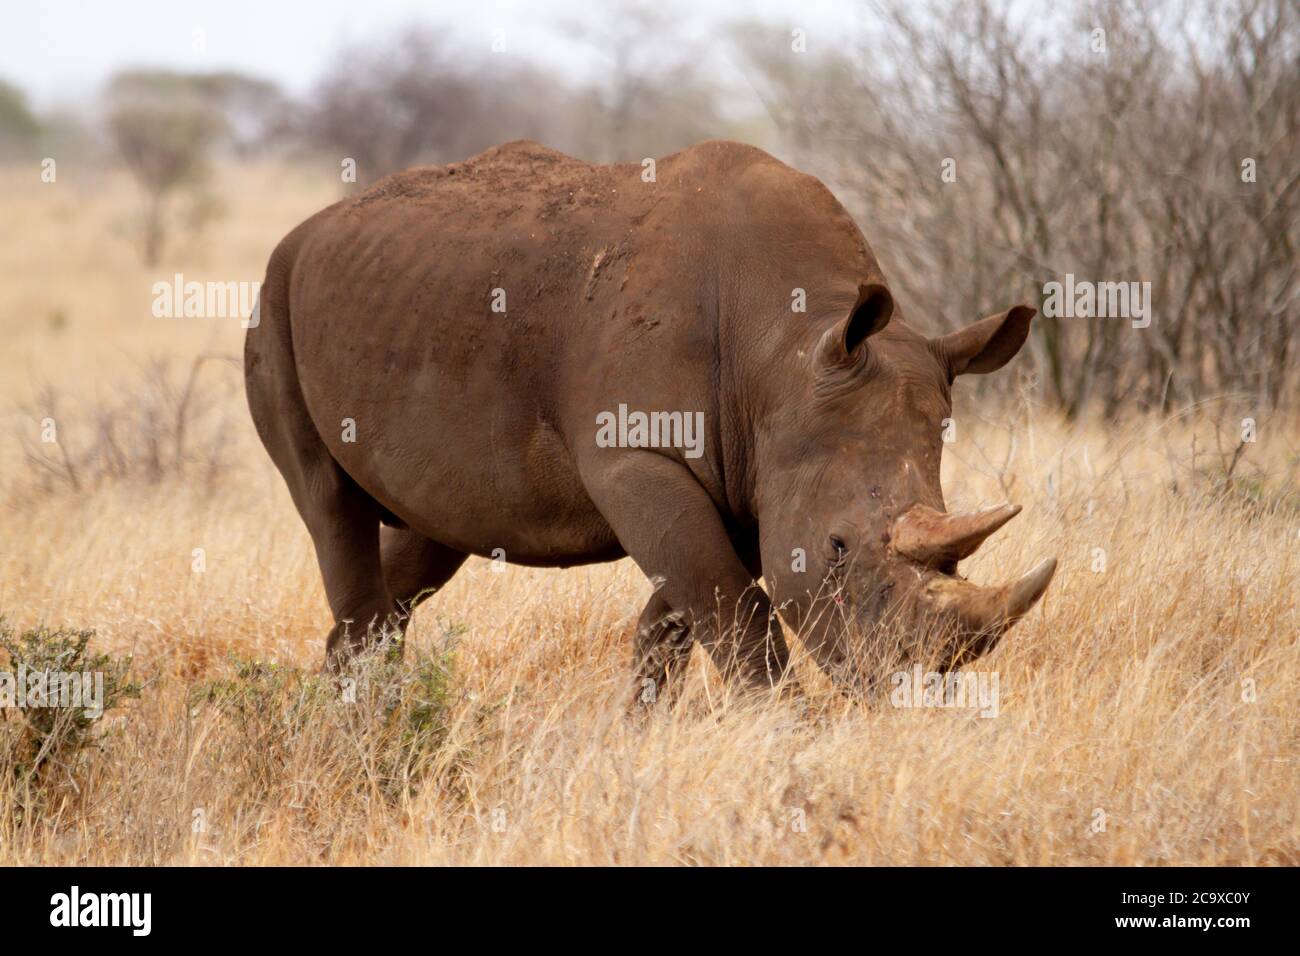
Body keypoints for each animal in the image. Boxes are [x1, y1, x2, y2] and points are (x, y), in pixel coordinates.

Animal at [244, 140, 1055, 698]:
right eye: (836, 549)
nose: (910, 689)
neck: (788, 352)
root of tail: (308, 231)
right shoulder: (637, 455)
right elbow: (735, 616)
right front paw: (794, 739)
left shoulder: (749, 472)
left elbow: (678, 620)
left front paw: (639, 735)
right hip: (273, 302)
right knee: (330, 505)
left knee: (431, 533)